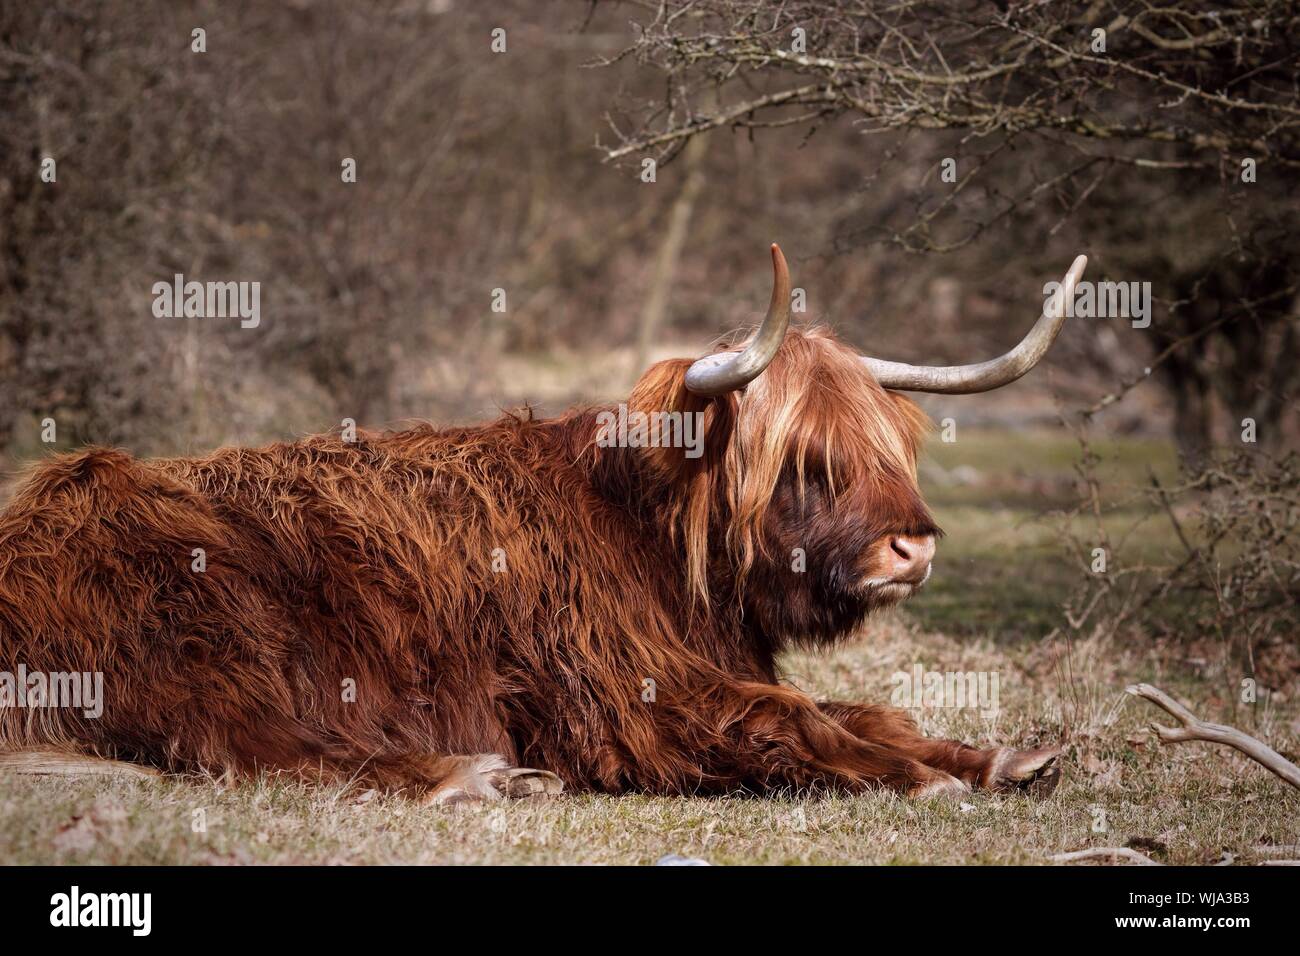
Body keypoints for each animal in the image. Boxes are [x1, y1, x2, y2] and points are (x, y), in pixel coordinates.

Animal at [0, 245, 1085, 804]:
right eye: (803, 459)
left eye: (890, 449)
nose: (914, 543)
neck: (649, 535)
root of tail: (44, 505)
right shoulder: (623, 698)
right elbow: (798, 718)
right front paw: (923, 777)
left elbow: (861, 710)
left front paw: (1000, 756)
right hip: (216, 630)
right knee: (254, 745)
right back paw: (473, 775)